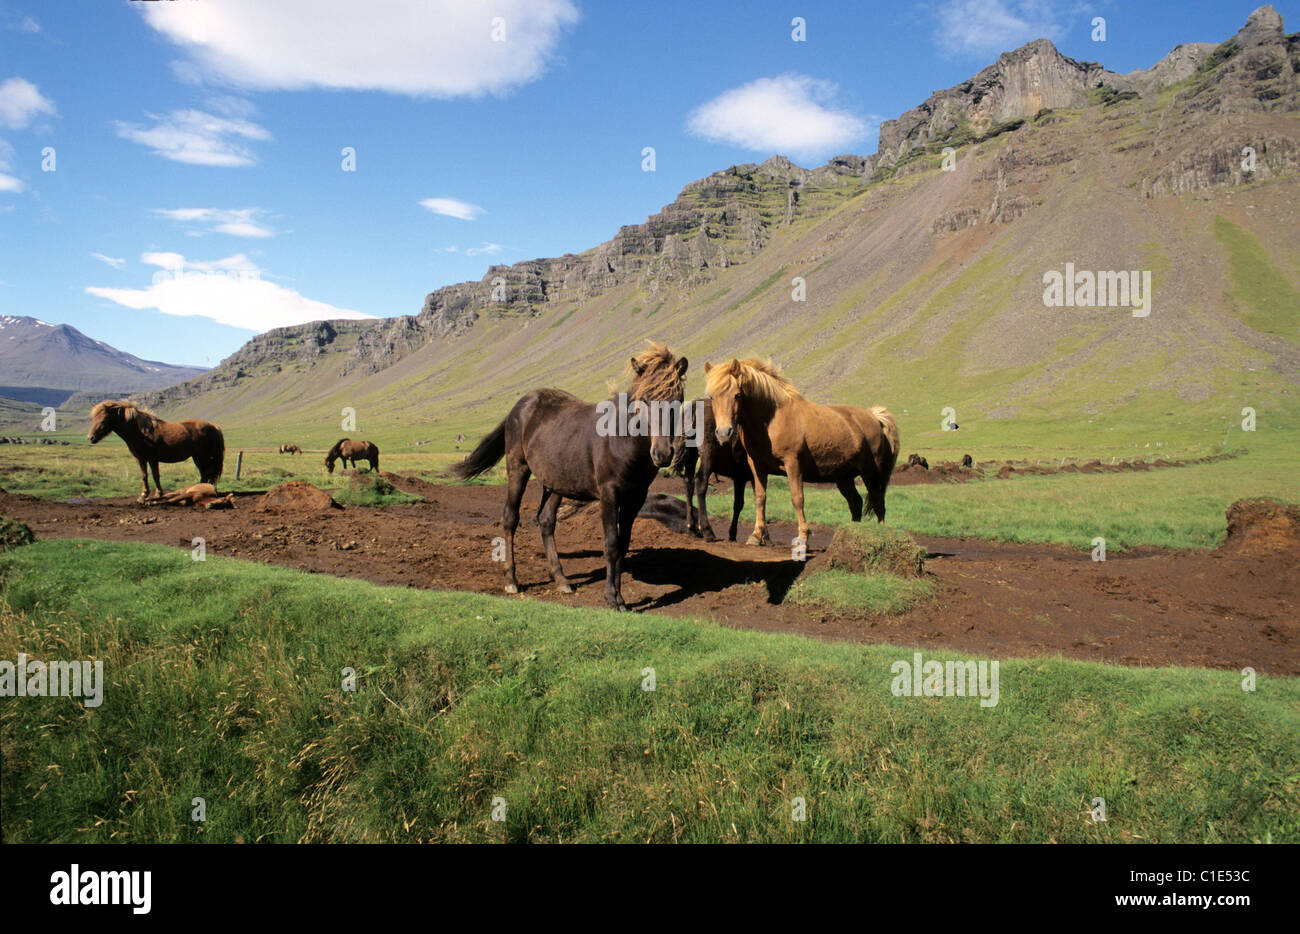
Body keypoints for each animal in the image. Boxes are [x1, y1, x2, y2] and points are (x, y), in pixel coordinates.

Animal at [87, 400, 225, 501]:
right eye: (93, 419)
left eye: (104, 420)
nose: (90, 438)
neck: (141, 432)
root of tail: (213, 426)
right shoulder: (140, 459)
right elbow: (144, 475)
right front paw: (143, 495)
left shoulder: (152, 458)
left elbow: (155, 475)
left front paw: (158, 494)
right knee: (205, 474)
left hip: (201, 457)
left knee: (205, 473)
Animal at [452, 341, 688, 610]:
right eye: (645, 400)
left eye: (678, 400)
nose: (662, 454)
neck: (622, 439)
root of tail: (522, 403)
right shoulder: (609, 494)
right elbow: (611, 544)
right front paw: (611, 598)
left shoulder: (635, 497)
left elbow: (624, 544)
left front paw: (621, 598)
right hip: (518, 468)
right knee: (510, 518)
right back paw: (511, 580)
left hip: (556, 483)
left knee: (545, 521)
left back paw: (561, 580)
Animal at [677, 397, 752, 542]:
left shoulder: (739, 478)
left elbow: (738, 504)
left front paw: (732, 534)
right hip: (707, 457)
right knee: (700, 482)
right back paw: (707, 530)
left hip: (691, 455)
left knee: (688, 482)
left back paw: (692, 529)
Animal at [703, 358, 899, 545]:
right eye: (711, 397)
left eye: (737, 395)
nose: (724, 433)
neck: (772, 420)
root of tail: (874, 417)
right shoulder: (757, 466)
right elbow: (760, 498)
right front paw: (756, 535)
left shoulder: (793, 465)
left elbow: (797, 499)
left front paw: (803, 537)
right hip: (844, 477)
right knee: (856, 503)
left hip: (870, 472)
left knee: (878, 502)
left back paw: (881, 535)